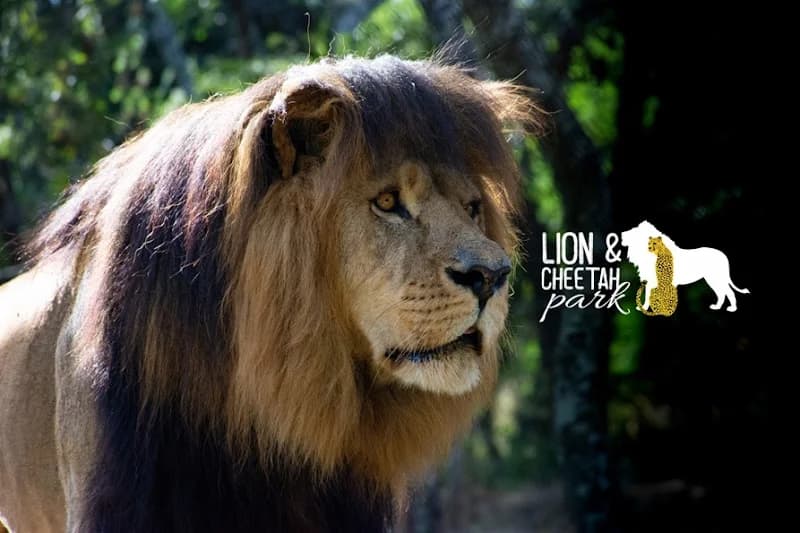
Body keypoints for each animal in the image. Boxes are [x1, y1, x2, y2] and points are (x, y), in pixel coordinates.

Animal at [621, 220, 749, 312]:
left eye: (634, 231)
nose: (622, 234)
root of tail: (723, 254)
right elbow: (648, 295)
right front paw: (644, 308)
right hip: (712, 279)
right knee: (722, 292)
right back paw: (717, 307)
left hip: (716, 277)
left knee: (728, 291)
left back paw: (732, 308)